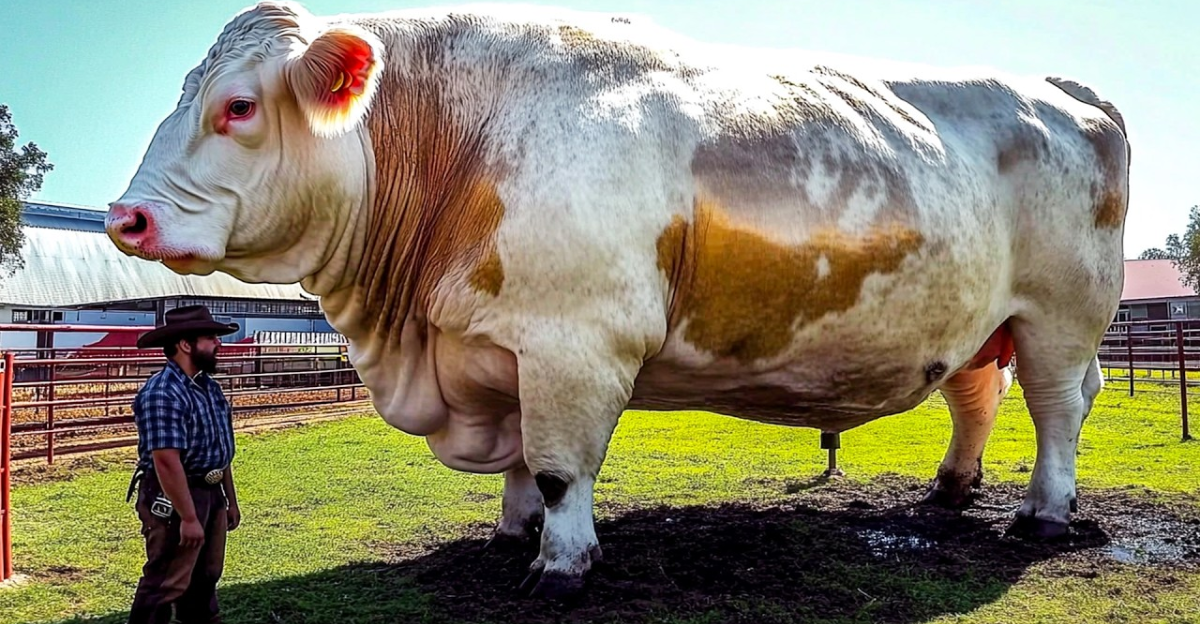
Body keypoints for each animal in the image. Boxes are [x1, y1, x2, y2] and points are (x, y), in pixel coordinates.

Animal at [105, 1, 1129, 599]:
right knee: (976, 396)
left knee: (1057, 413)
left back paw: (1042, 514)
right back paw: (950, 490)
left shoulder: (575, 345)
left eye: (238, 106)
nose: (127, 218)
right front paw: (510, 535)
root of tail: (1062, 89)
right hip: (979, 322)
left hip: (1061, 321)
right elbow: (524, 463)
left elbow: (562, 466)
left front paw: (561, 565)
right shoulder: (506, 349)